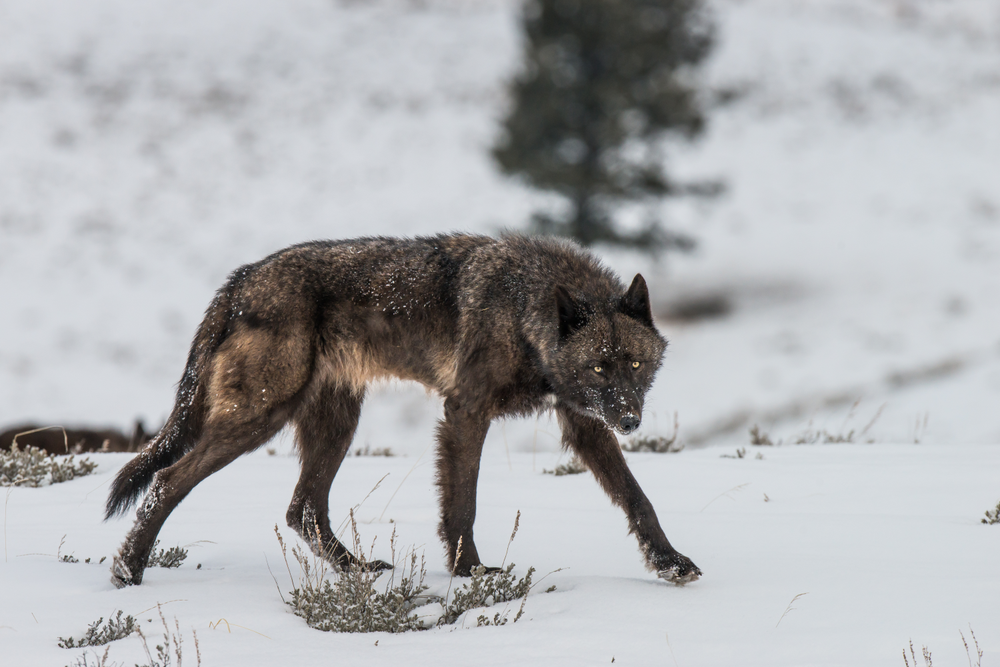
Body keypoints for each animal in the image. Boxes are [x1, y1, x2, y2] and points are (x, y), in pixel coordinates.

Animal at [105, 234, 701, 587]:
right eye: (599, 368)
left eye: (633, 364)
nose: (630, 421)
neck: (523, 310)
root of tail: (242, 278)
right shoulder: (465, 412)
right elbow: (462, 505)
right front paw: (471, 573)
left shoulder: (585, 426)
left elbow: (638, 499)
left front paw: (670, 562)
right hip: (259, 418)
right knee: (168, 480)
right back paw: (128, 572)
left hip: (337, 424)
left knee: (303, 508)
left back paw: (358, 572)